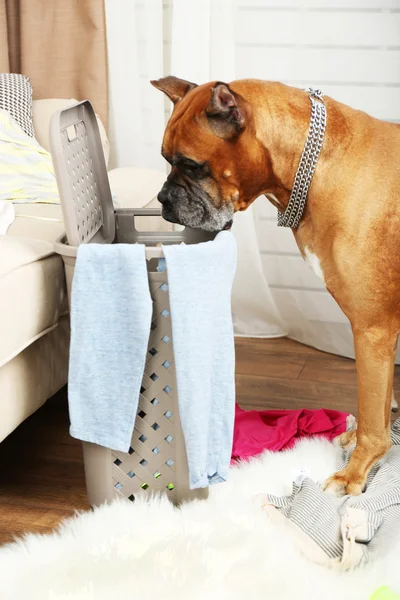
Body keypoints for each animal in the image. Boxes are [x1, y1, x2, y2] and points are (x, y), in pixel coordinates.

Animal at [151, 76, 400, 496]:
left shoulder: (372, 330)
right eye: (167, 160)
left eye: (191, 166)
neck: (312, 166)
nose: (163, 198)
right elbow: (379, 406)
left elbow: (372, 411)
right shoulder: (382, 334)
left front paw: (354, 472)